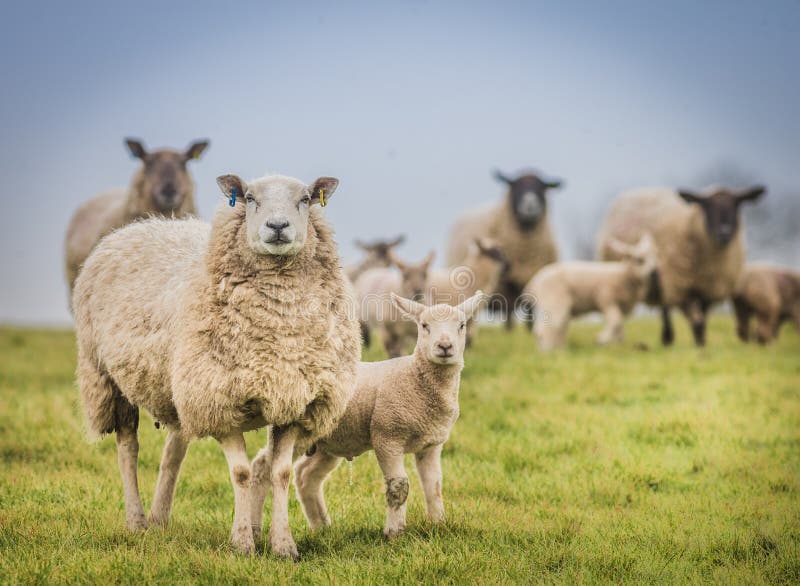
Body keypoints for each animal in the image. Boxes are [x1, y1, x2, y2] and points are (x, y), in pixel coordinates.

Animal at [72, 173, 360, 560]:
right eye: (249, 198)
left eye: (305, 199)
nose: (277, 226)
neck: (279, 329)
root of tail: (136, 227)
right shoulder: (221, 403)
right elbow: (241, 473)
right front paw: (242, 543)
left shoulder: (295, 403)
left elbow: (281, 473)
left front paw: (283, 546)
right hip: (109, 378)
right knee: (128, 449)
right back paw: (137, 521)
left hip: (183, 385)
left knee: (173, 452)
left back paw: (160, 518)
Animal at [293, 292, 486, 538]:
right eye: (424, 326)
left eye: (461, 325)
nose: (444, 346)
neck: (415, 378)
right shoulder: (387, 436)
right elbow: (399, 486)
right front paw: (394, 533)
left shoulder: (431, 444)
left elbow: (434, 485)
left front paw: (438, 524)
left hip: (329, 441)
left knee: (306, 475)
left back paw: (323, 528)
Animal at [446, 169, 562, 329]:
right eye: (515, 185)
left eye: (542, 187)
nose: (530, 204)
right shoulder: (504, 286)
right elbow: (508, 312)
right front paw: (510, 332)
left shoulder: (533, 277)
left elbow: (530, 312)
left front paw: (529, 330)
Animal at [526, 233, 658, 351]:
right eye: (639, 260)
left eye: (654, 257)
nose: (653, 272)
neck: (623, 275)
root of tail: (535, 280)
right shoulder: (606, 299)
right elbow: (616, 321)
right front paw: (603, 339)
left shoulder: (621, 306)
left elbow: (620, 325)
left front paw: (616, 345)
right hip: (555, 302)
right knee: (547, 327)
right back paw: (548, 351)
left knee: (557, 328)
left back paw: (559, 349)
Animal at [597, 184, 766, 346]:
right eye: (706, 205)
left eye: (737, 204)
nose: (724, 232)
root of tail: (642, 190)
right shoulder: (681, 286)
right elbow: (696, 319)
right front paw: (698, 344)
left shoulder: (709, 290)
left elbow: (702, 318)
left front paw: (701, 342)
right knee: (665, 308)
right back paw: (667, 338)